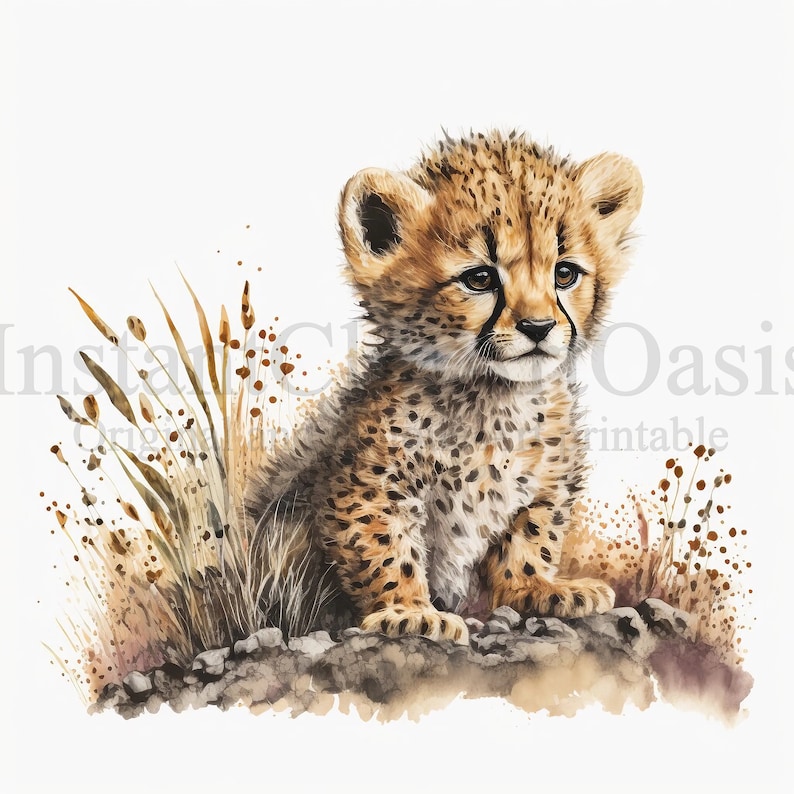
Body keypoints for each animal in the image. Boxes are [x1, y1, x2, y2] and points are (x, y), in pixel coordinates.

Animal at [245, 130, 643, 645]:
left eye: (565, 273)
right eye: (480, 278)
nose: (538, 327)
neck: (494, 397)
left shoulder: (547, 485)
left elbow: (532, 537)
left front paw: (538, 589)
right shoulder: (367, 489)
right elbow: (386, 548)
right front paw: (410, 611)